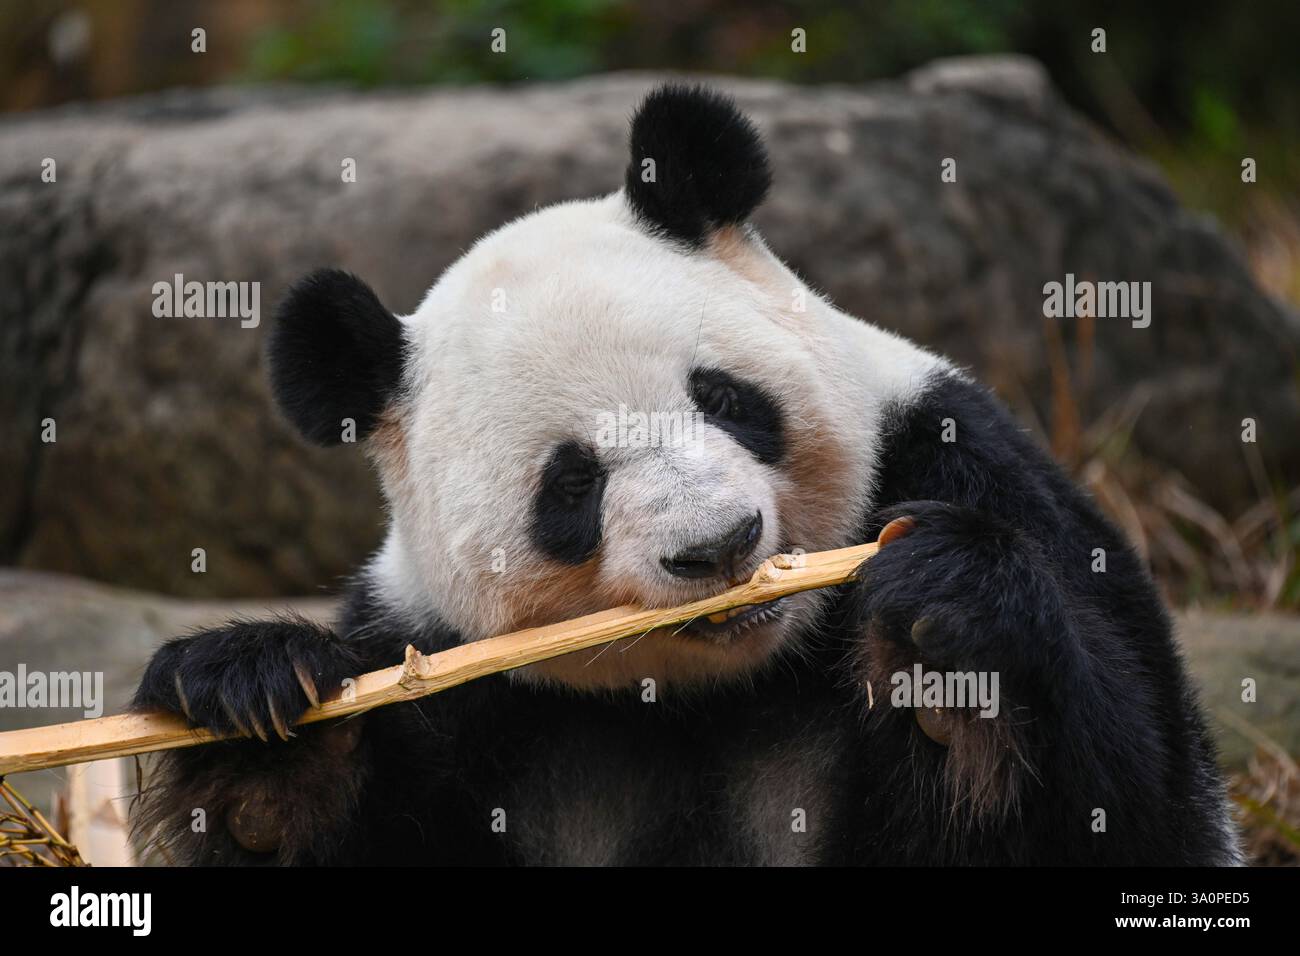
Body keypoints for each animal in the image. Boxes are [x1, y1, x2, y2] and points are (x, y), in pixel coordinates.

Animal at [132, 84, 1240, 866]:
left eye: (725, 398)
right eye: (571, 486)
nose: (719, 545)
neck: (719, 685)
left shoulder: (968, 460)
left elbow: (1140, 813)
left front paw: (951, 641)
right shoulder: (437, 658)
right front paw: (257, 721)